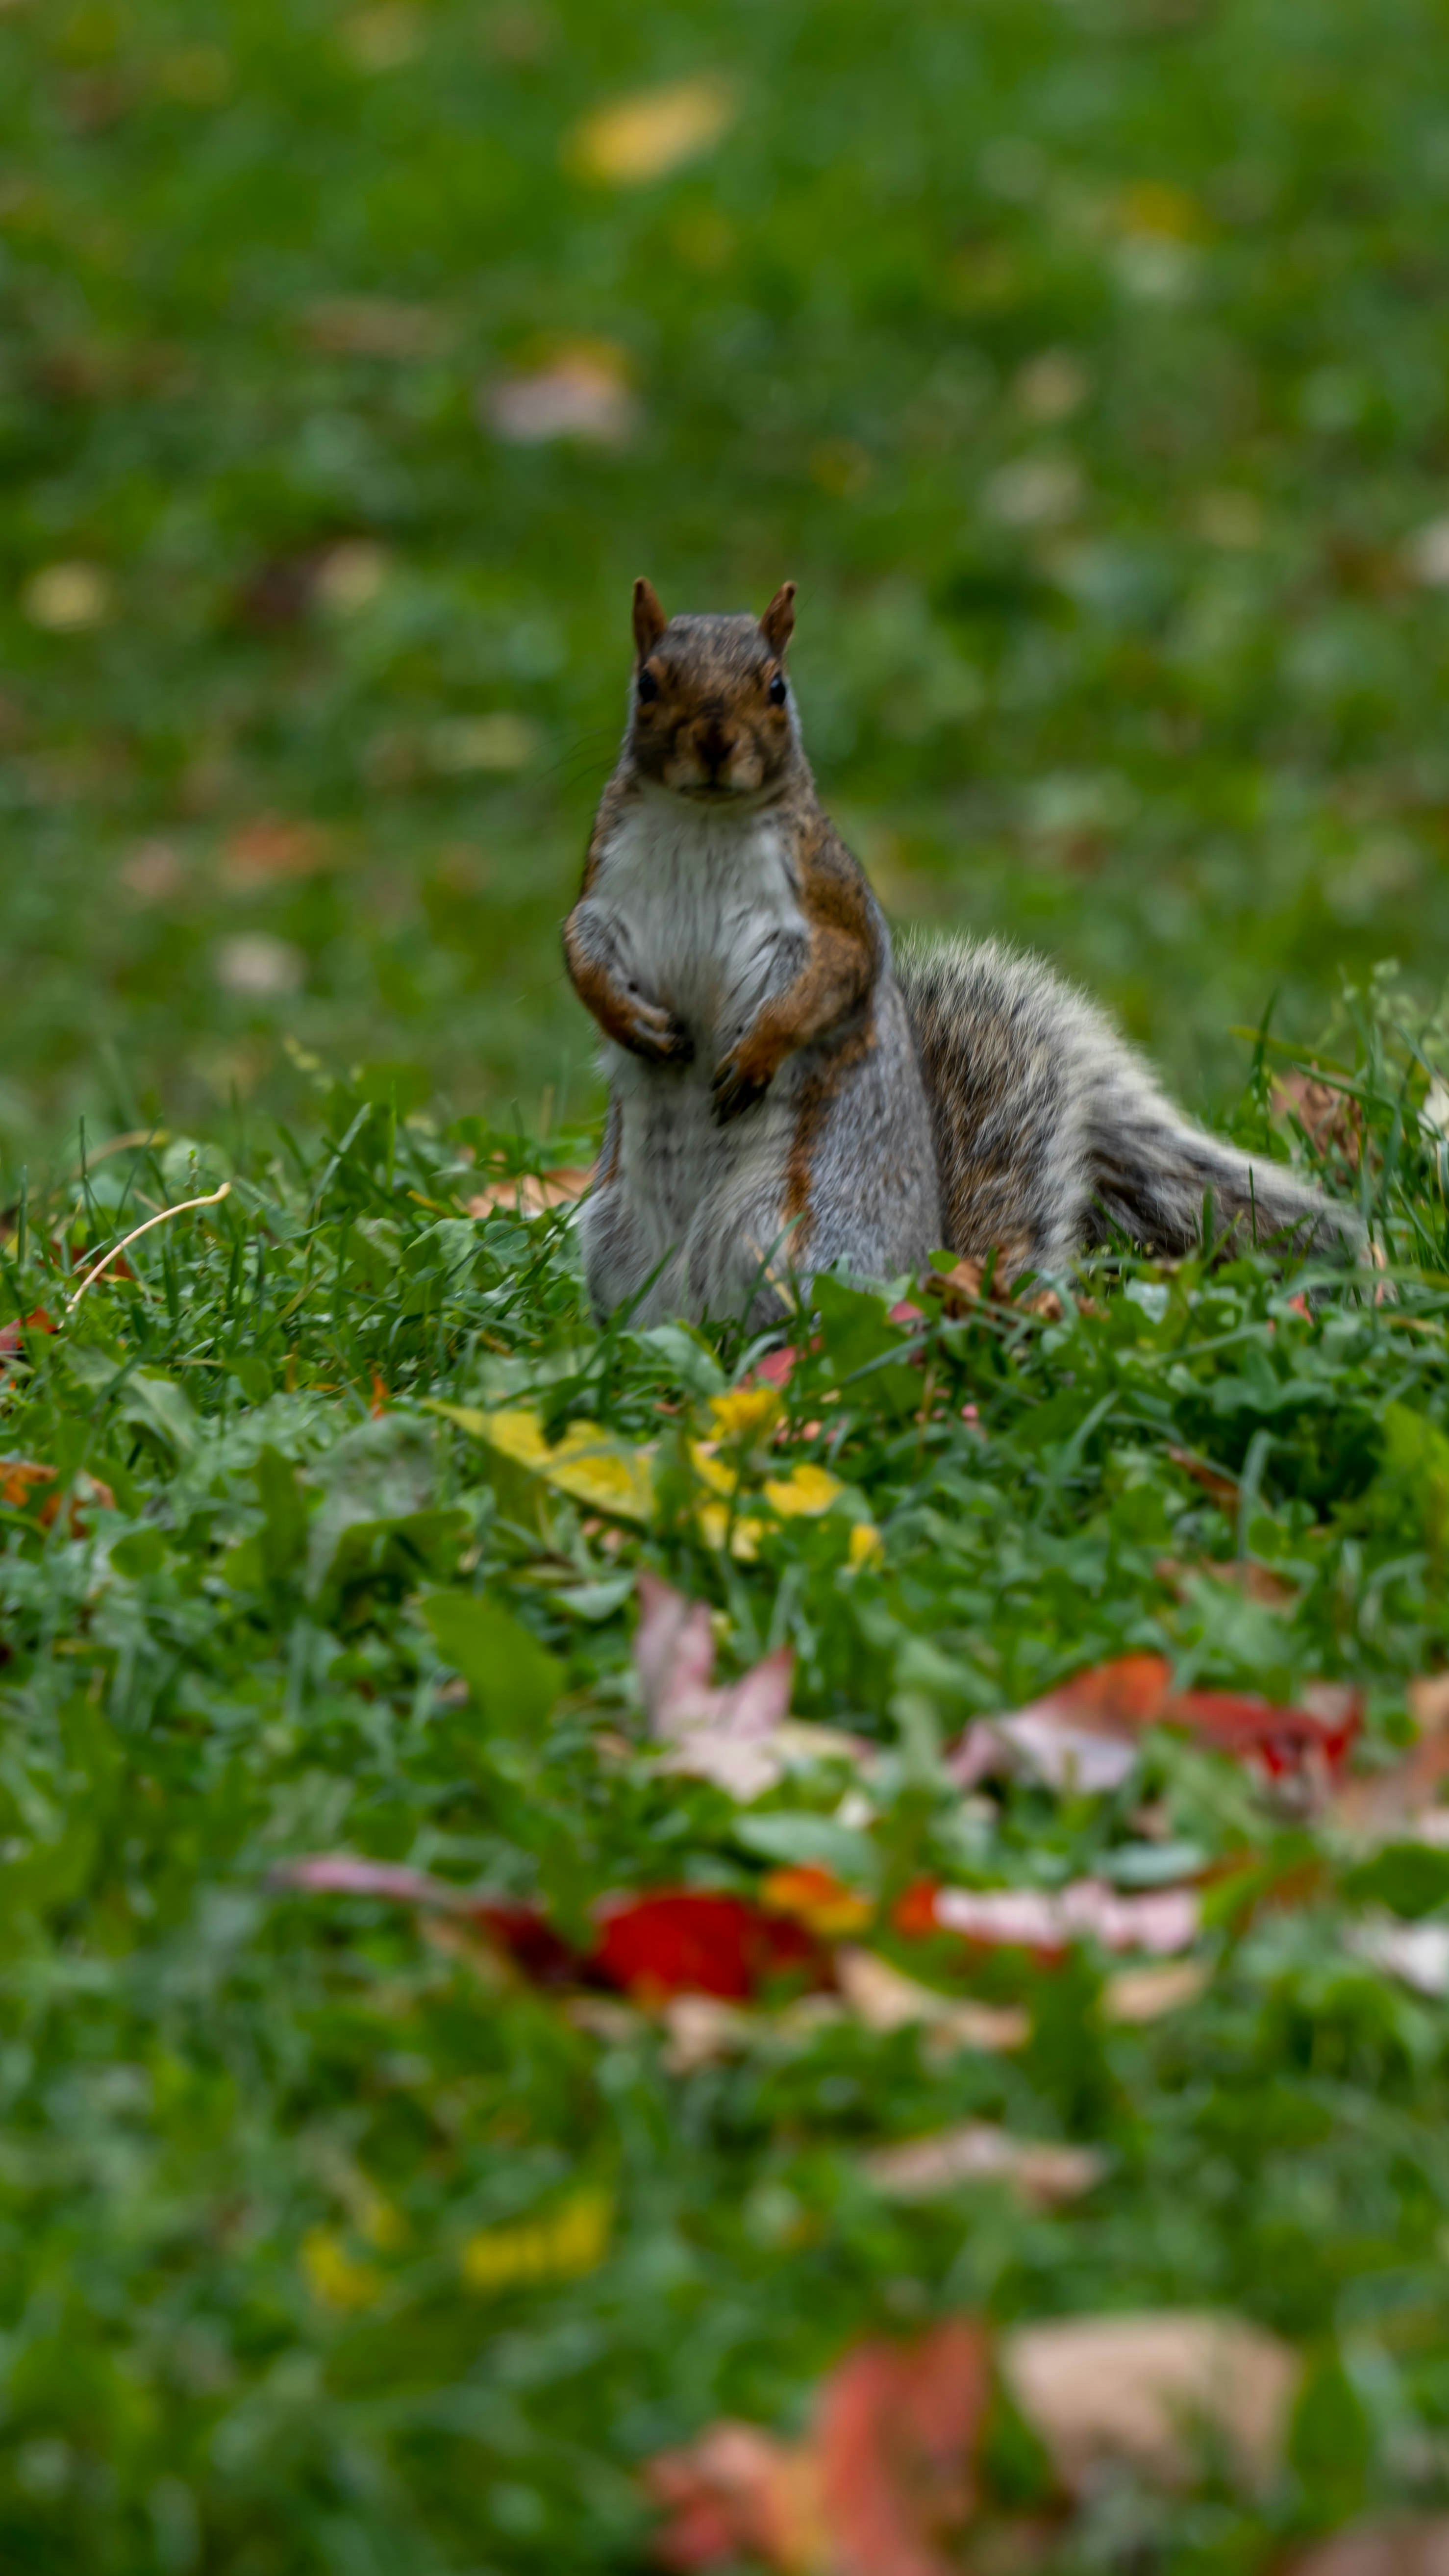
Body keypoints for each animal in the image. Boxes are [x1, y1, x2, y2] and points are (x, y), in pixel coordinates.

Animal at [564, 578, 1352, 1326]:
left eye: (776, 686)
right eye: (647, 683)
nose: (715, 741)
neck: (702, 821)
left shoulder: (830, 906)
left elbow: (834, 979)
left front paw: (759, 1049)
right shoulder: (602, 891)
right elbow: (580, 954)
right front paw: (629, 1021)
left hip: (787, 1238)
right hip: (613, 1243)